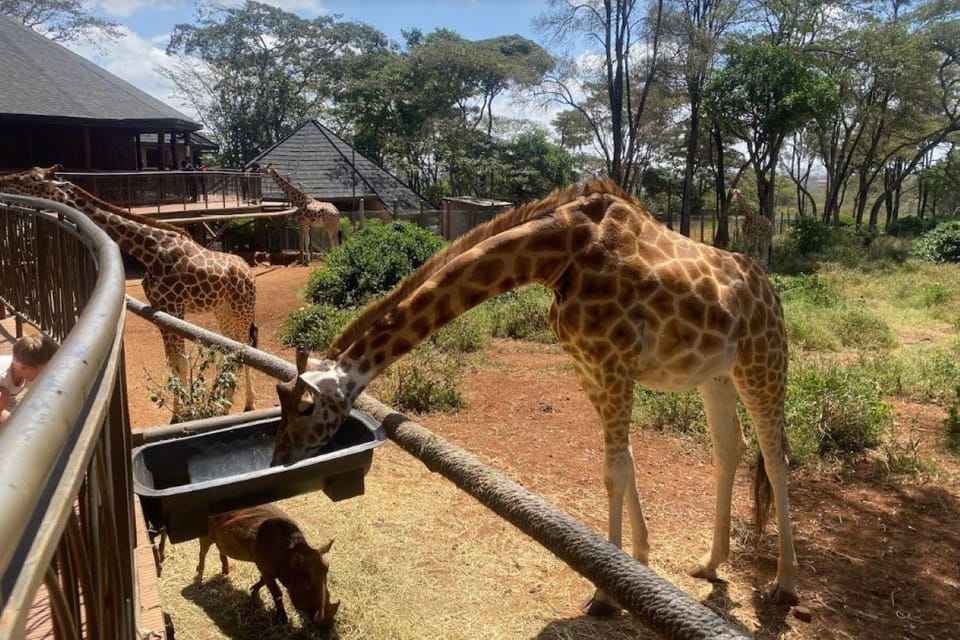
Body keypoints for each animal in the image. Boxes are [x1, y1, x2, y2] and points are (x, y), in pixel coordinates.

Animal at [0, 166, 258, 417]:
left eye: (34, 177)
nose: (5, 179)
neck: (150, 252)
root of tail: (249, 272)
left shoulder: (174, 306)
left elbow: (181, 362)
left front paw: (188, 413)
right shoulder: (160, 309)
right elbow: (172, 363)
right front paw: (179, 414)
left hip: (241, 309)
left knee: (244, 348)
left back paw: (243, 403)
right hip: (223, 310)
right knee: (230, 349)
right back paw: (222, 402)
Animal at [271, 179, 800, 608]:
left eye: (304, 407)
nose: (279, 459)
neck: (557, 256)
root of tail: (770, 291)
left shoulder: (613, 366)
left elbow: (612, 473)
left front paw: (606, 595)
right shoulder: (591, 369)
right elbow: (626, 464)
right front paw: (638, 565)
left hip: (763, 360)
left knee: (775, 457)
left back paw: (784, 585)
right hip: (716, 375)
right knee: (730, 448)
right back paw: (711, 564)